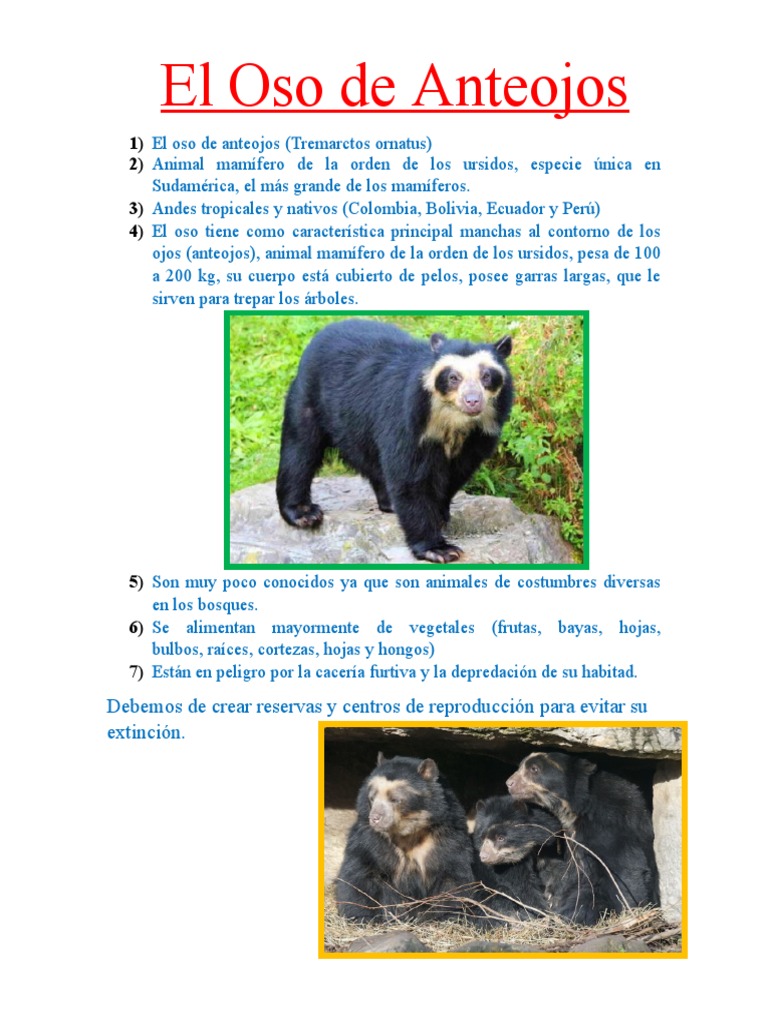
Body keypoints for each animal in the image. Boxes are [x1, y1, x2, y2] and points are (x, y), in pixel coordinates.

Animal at [276, 319, 514, 563]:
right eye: (452, 378)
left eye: (487, 376)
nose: (472, 401)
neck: (454, 422)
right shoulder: (408, 420)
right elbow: (410, 478)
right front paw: (439, 549)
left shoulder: (479, 436)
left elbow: (456, 475)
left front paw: (440, 515)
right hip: (309, 398)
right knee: (300, 448)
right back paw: (303, 513)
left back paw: (388, 502)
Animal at [335, 753, 481, 922]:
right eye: (372, 798)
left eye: (395, 799)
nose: (375, 818)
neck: (407, 831)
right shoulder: (368, 839)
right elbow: (359, 873)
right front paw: (360, 915)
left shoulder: (447, 837)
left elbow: (452, 876)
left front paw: (444, 916)